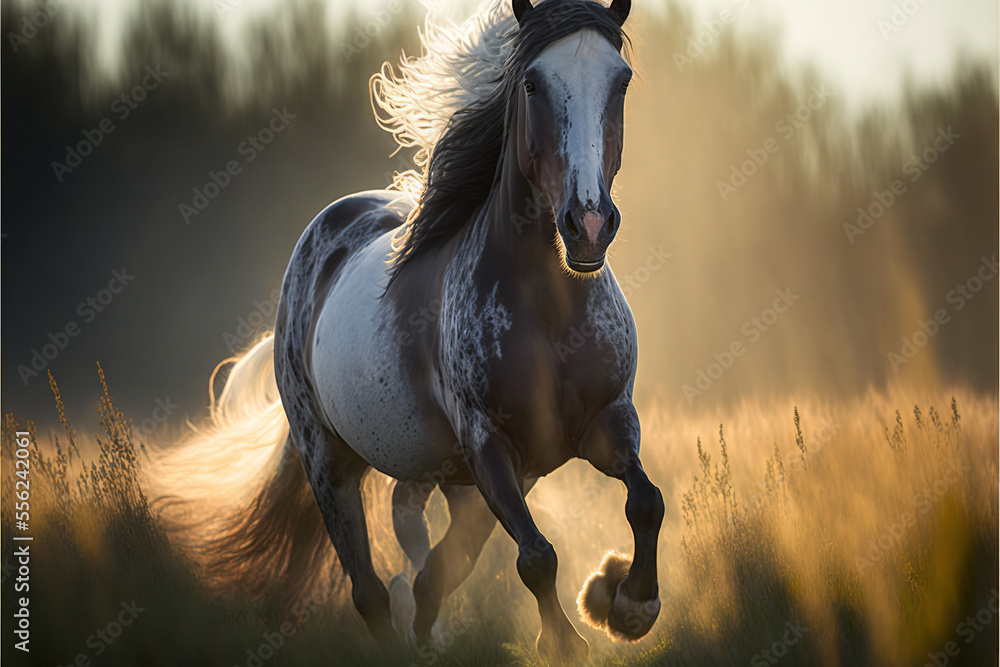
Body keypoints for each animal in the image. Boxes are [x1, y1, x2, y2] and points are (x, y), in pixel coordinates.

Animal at [150, 0, 663, 661]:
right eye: (531, 83)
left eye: (620, 80)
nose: (589, 224)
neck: (550, 309)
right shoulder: (488, 443)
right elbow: (536, 557)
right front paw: (568, 638)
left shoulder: (608, 419)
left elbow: (645, 502)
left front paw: (626, 603)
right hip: (329, 459)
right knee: (368, 587)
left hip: (442, 474)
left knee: (422, 545)